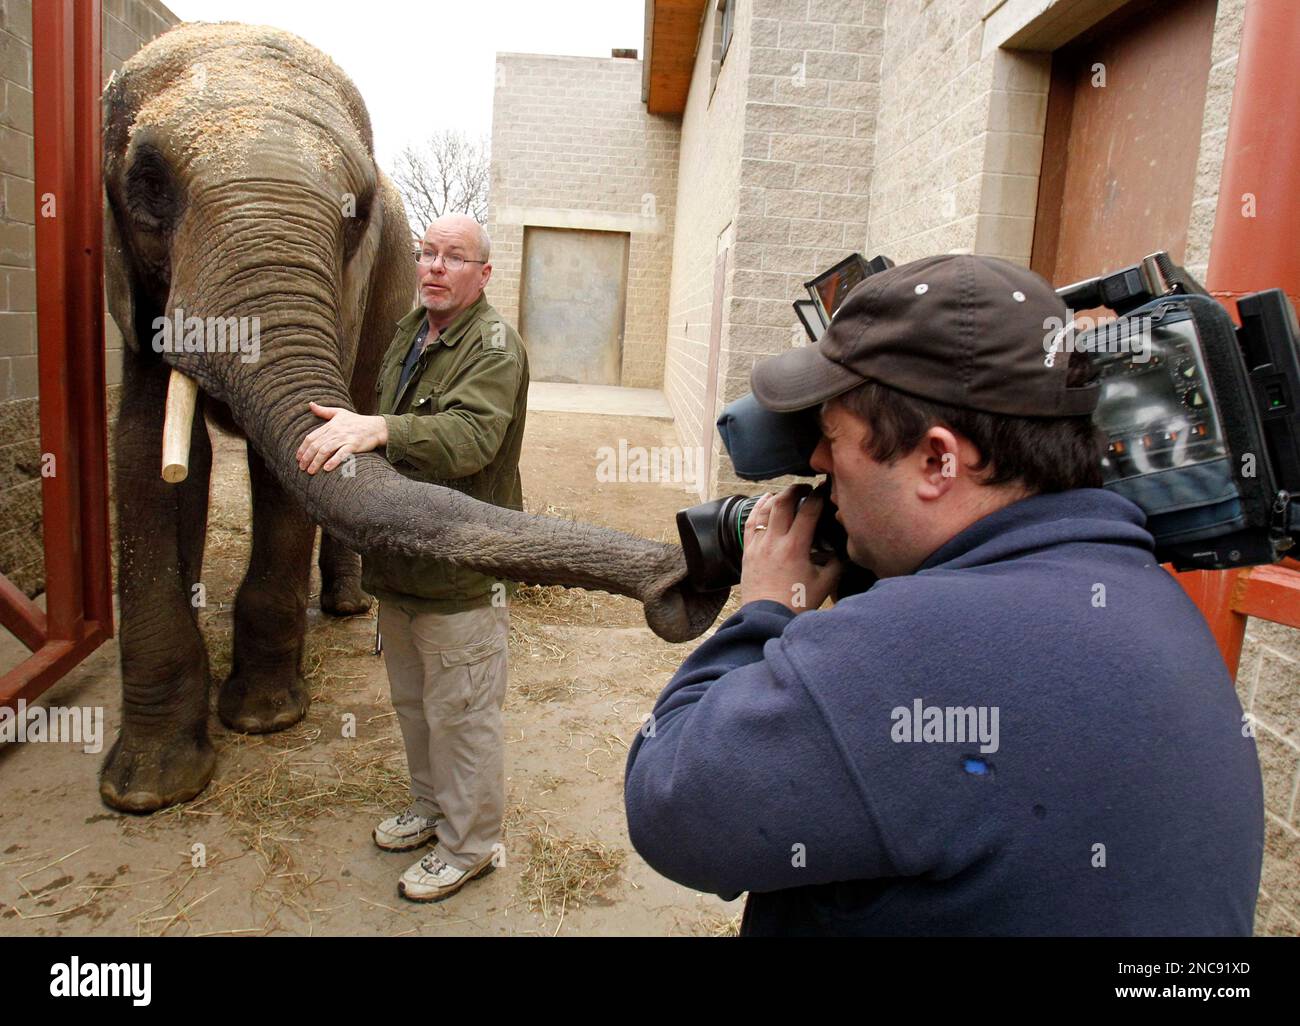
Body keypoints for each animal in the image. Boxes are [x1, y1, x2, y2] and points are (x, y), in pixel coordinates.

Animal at [99, 23, 727, 813]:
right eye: (147, 183)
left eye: (358, 210)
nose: (687, 586)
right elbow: (142, 450)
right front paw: (146, 791)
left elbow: (284, 473)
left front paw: (264, 721)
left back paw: (344, 606)